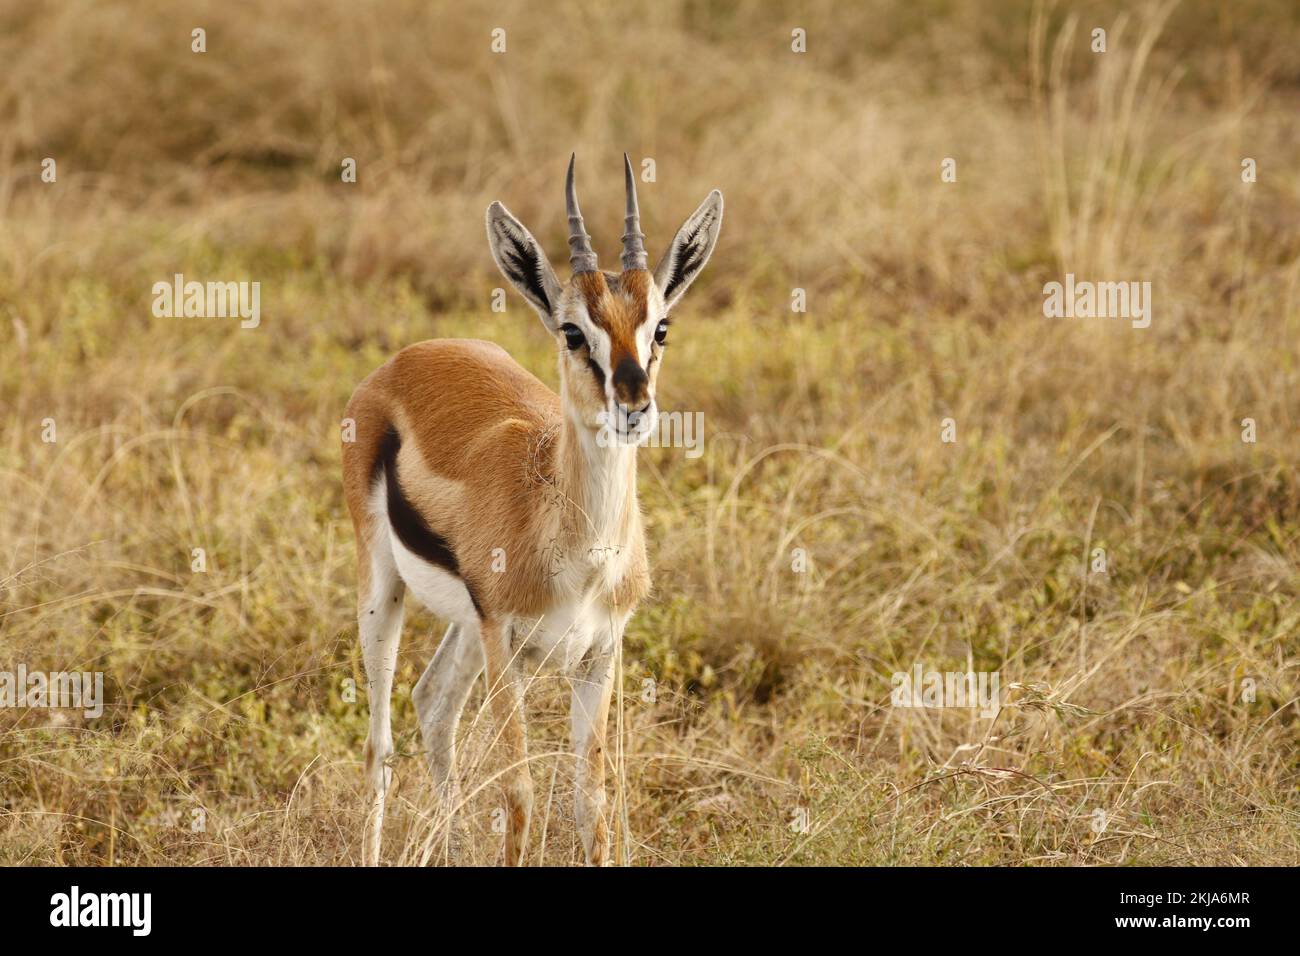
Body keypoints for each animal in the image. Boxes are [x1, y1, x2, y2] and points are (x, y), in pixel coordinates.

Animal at [342, 155, 723, 865]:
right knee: (380, 745)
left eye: (660, 326)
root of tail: (409, 356)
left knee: (433, 704)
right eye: (573, 331)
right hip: (385, 591)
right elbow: (518, 795)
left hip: (468, 628)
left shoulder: (599, 652)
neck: (581, 554)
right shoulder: (507, 646)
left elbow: (591, 801)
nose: (634, 404)